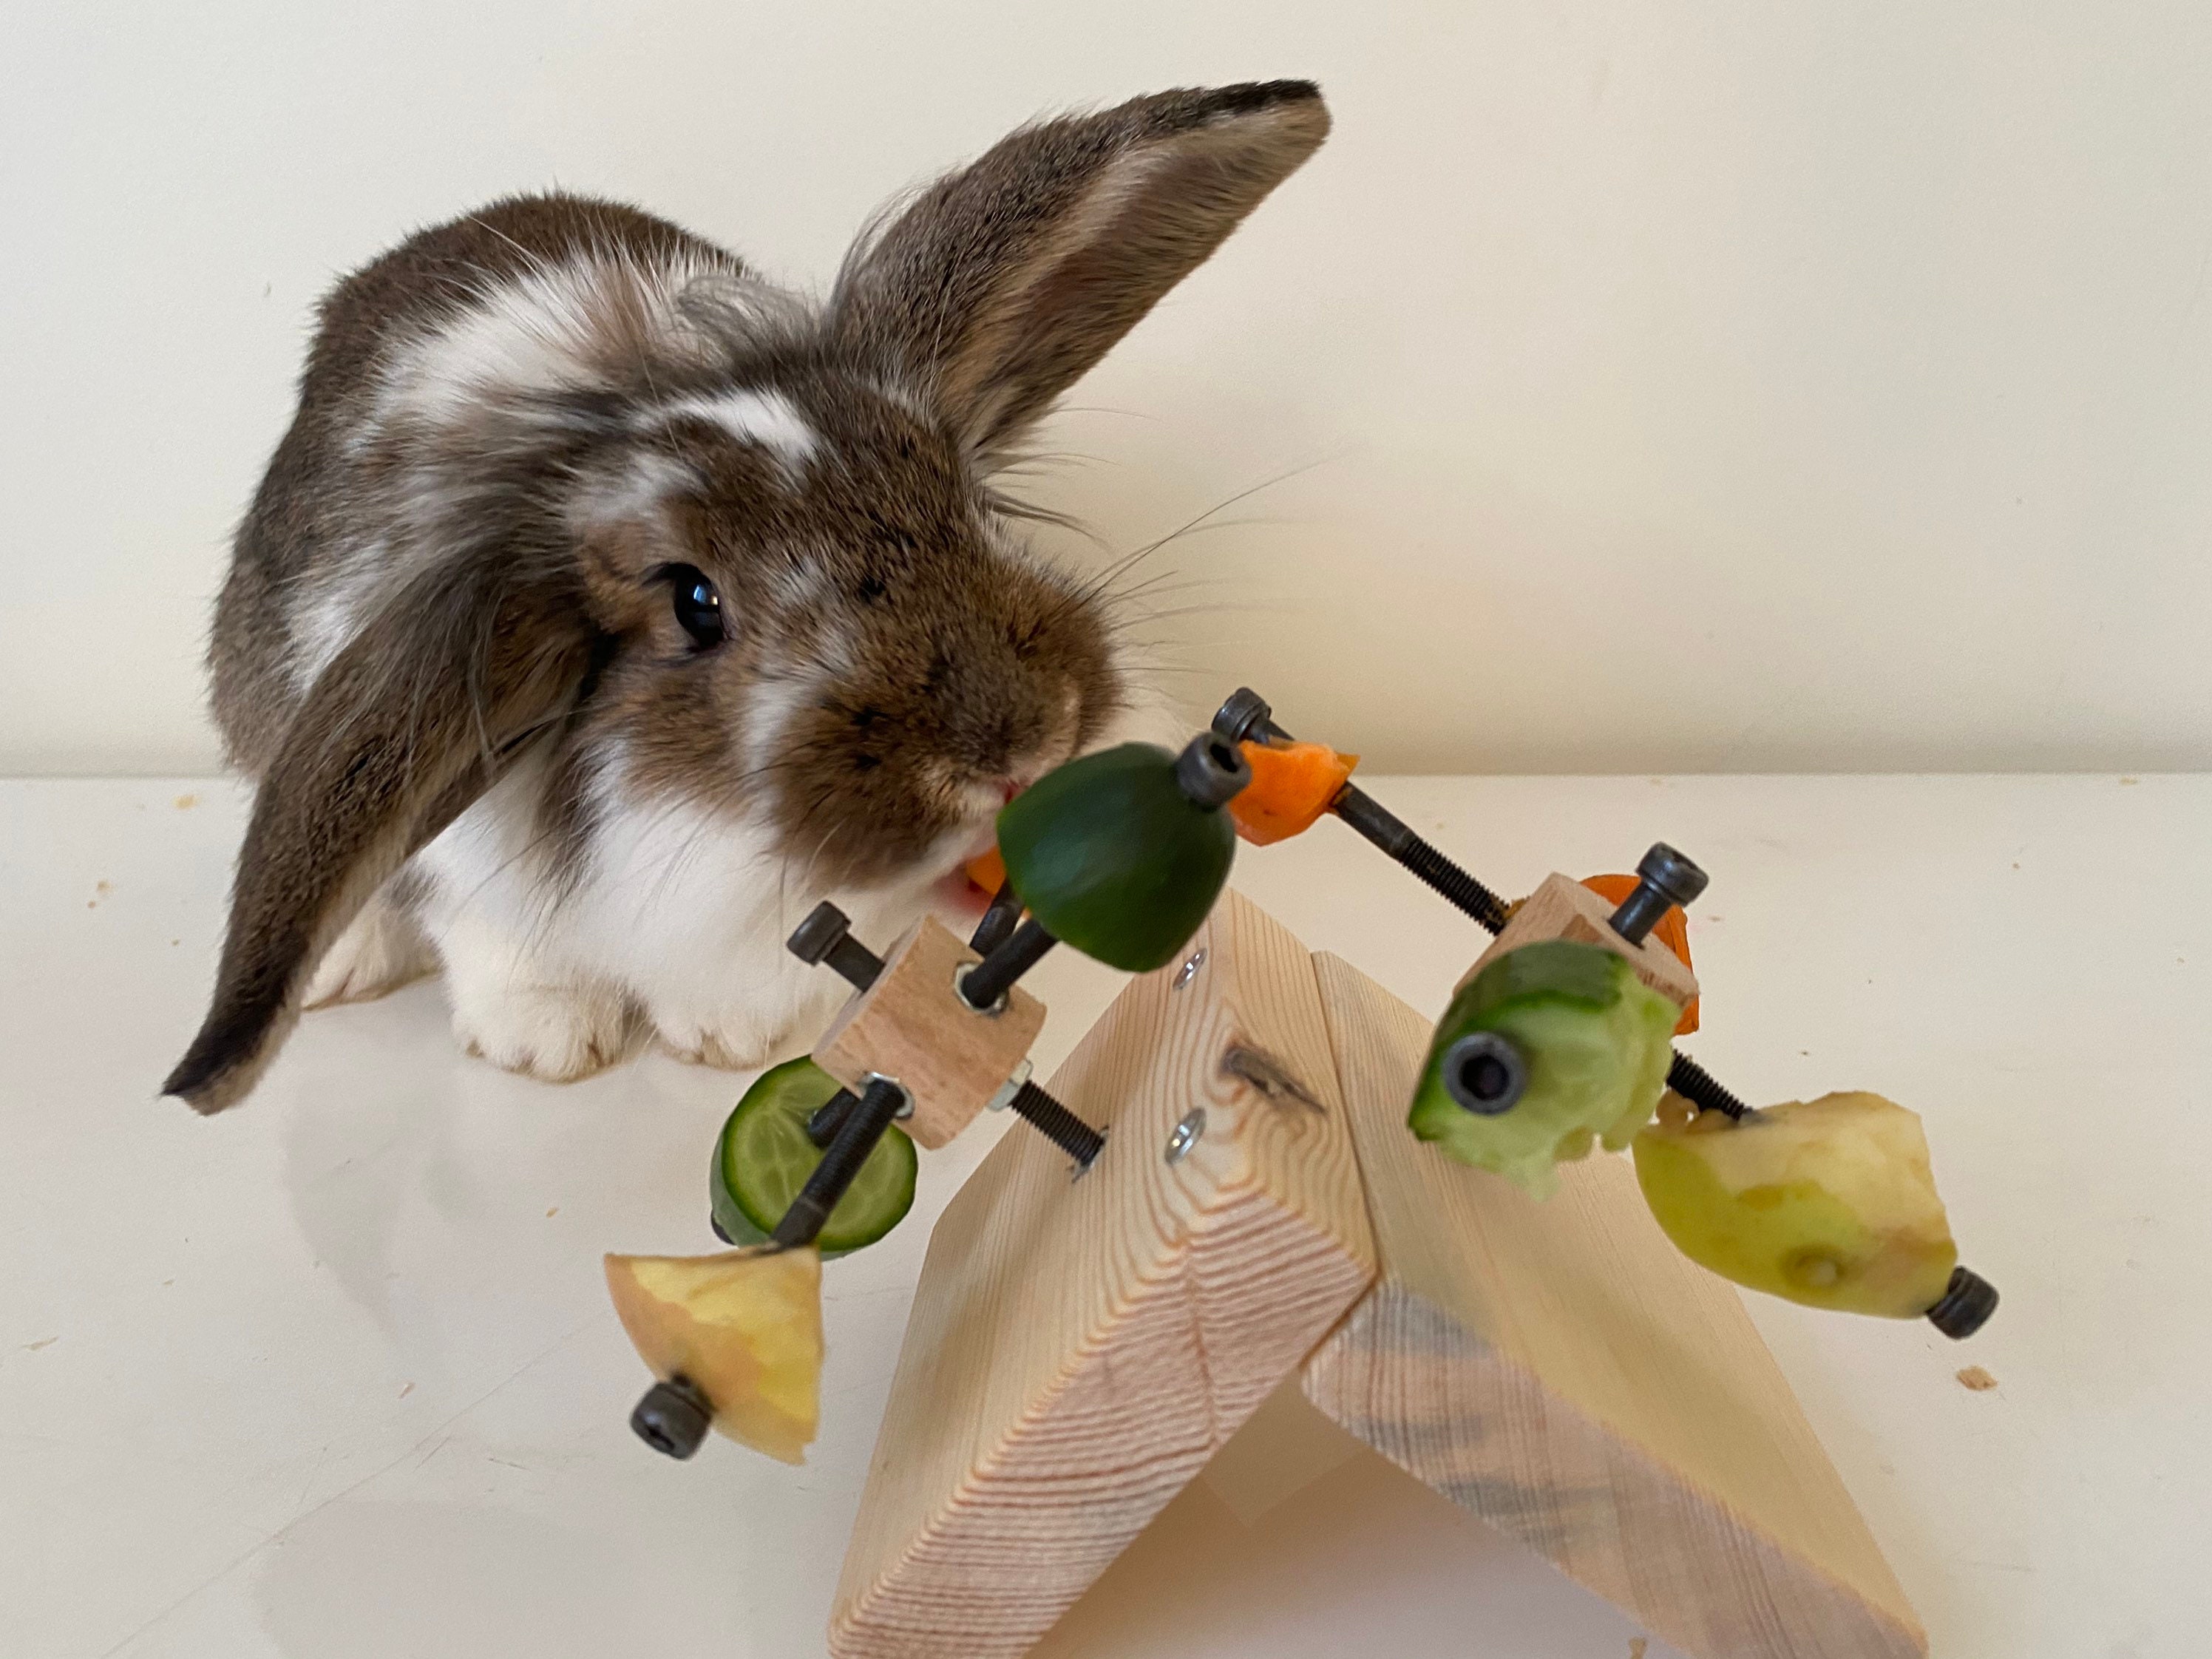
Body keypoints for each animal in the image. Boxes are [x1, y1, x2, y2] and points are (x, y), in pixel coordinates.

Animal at [162, 81, 1330, 1113]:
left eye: (960, 495)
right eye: (694, 602)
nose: (1017, 753)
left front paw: (728, 1039)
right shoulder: (468, 856)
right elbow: (498, 941)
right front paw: (548, 1046)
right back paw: (349, 964)